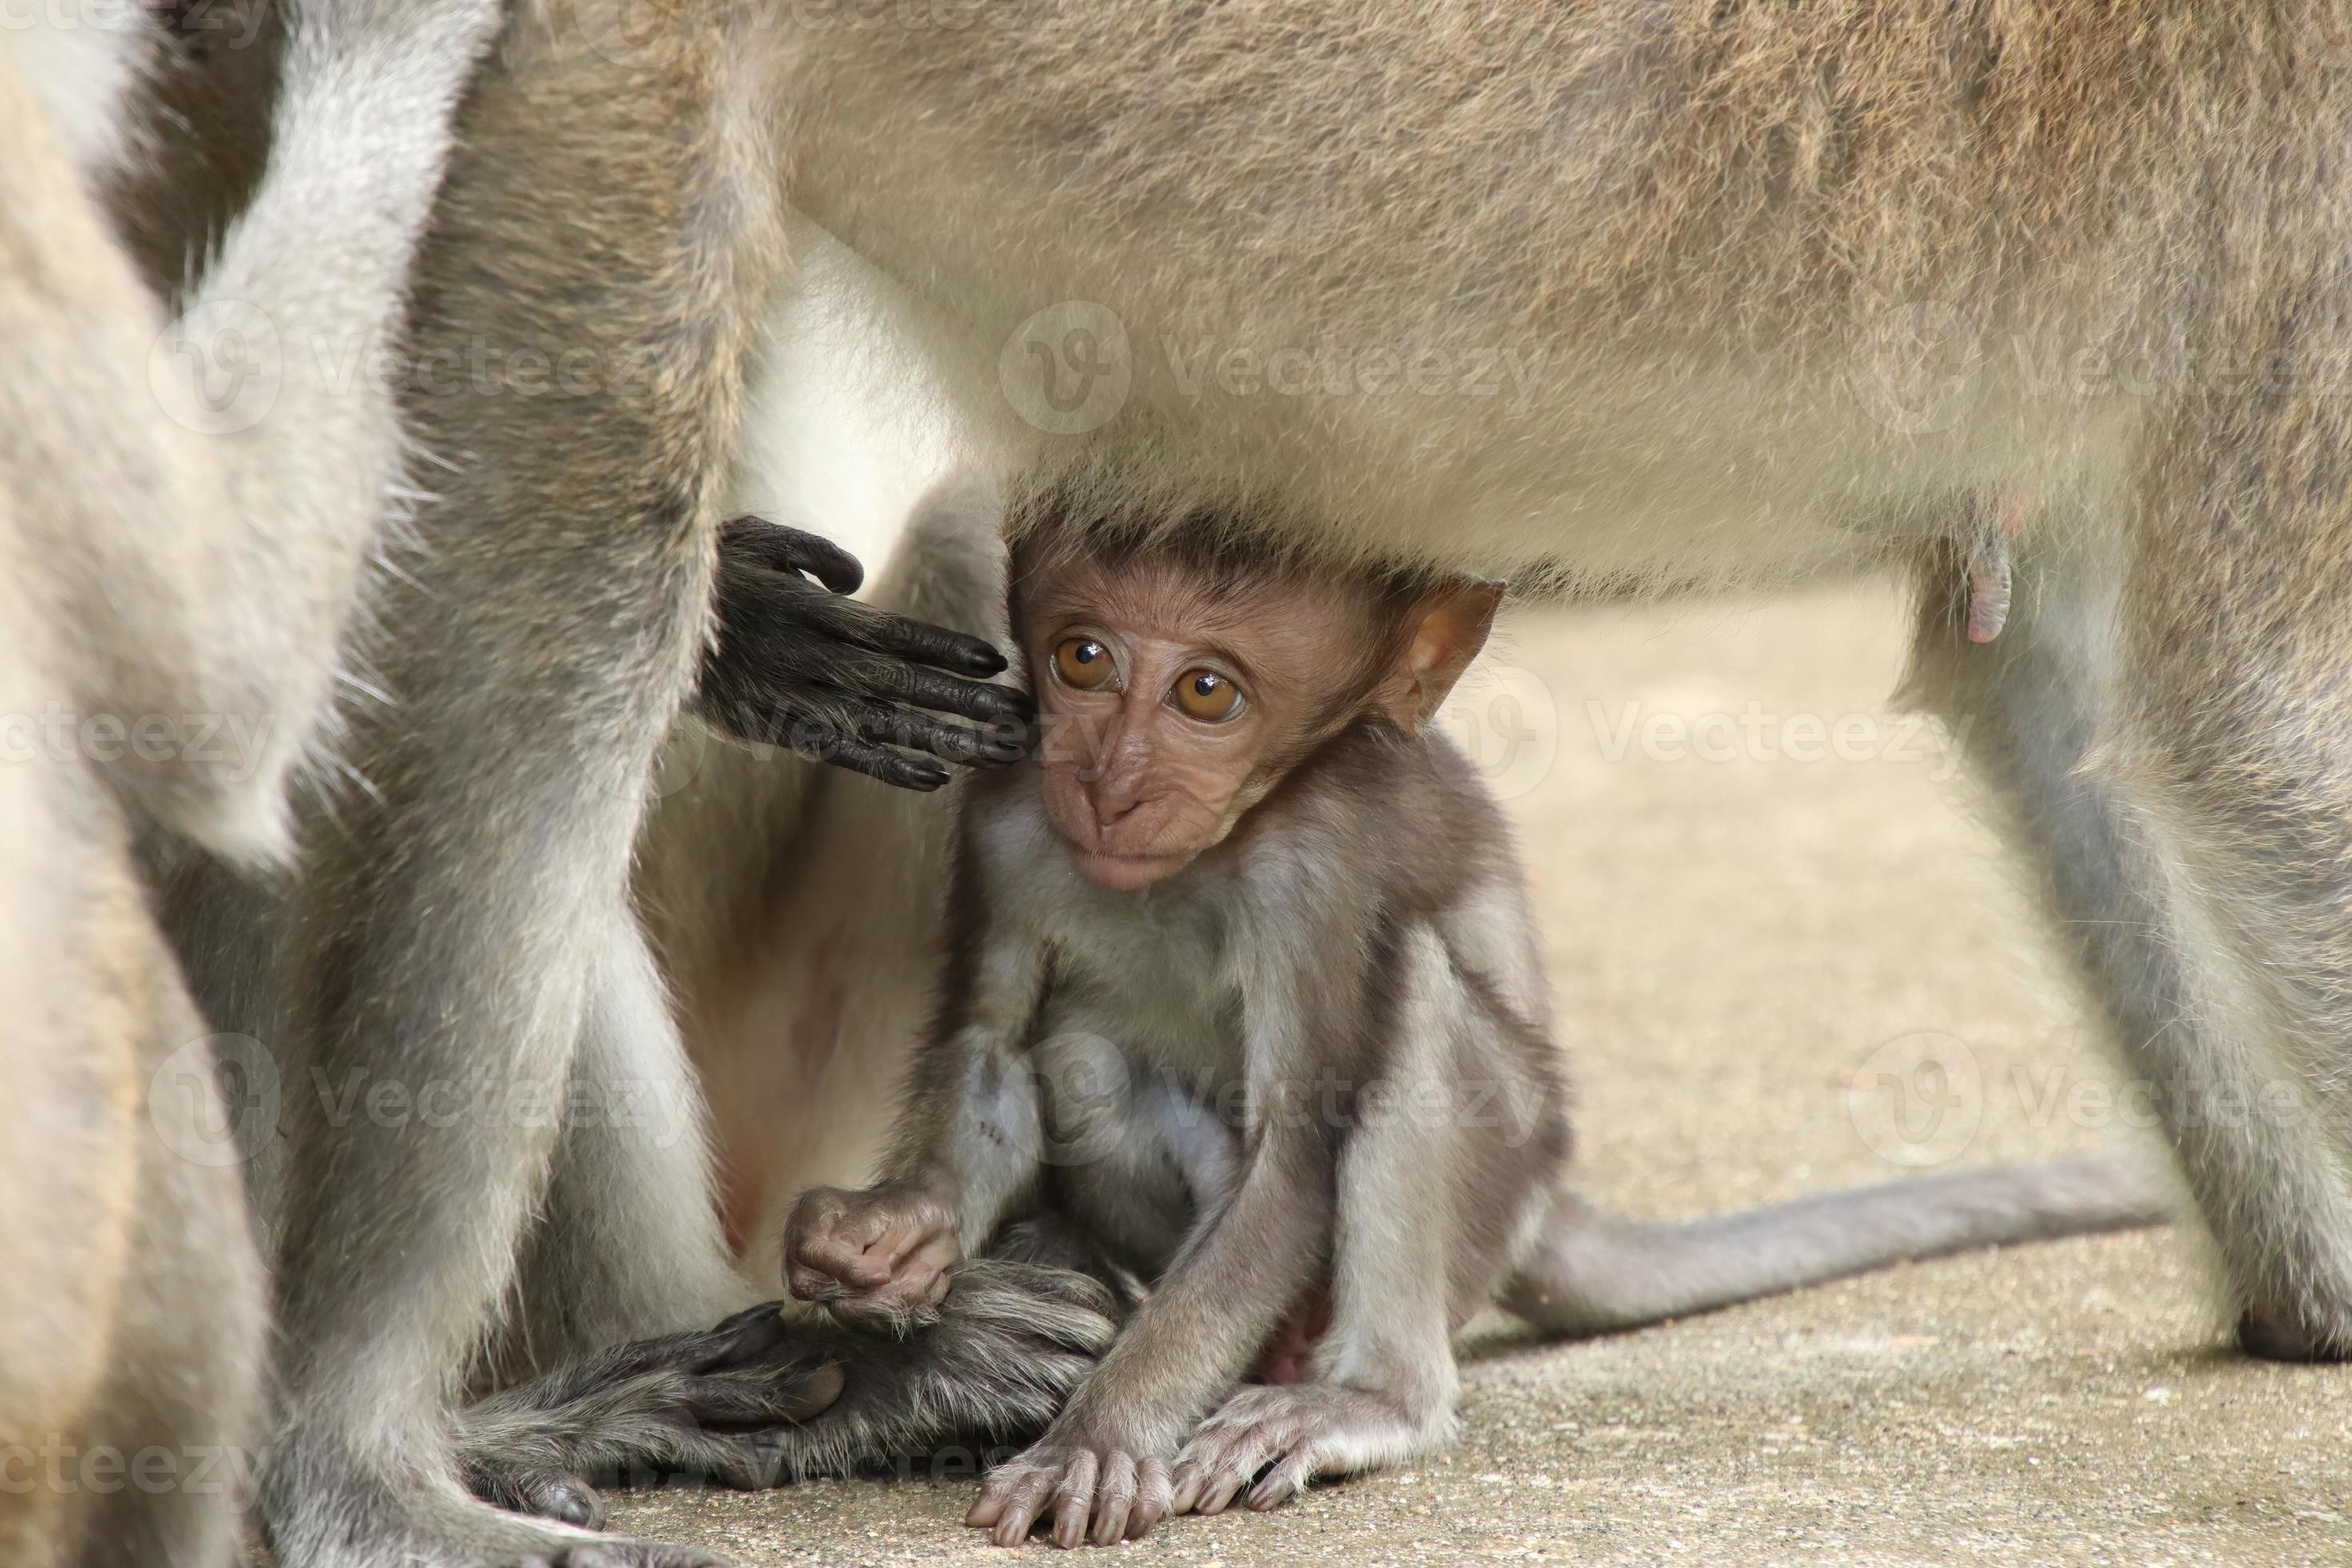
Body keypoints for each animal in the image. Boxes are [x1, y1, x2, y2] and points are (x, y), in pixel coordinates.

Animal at [779, 511, 2175, 1548]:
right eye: (1082, 659)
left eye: (1206, 692)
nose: (1112, 781)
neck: (1200, 855)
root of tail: (1547, 1200)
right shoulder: (1010, 813)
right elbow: (991, 1044)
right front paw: (888, 1242)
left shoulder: (1320, 866)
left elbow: (1297, 1156)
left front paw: (1099, 1434)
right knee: (1082, 1057)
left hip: (1500, 1166)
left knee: (1417, 1004)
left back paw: (1360, 1397)